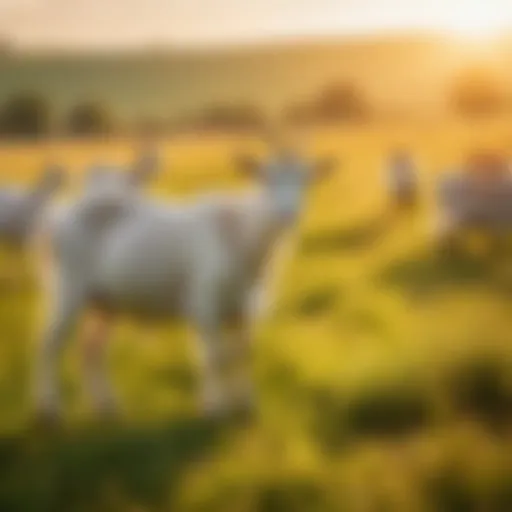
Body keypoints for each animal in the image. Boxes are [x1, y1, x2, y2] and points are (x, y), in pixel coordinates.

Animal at [33, 150, 336, 422]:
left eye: (305, 180)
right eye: (266, 179)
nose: (288, 214)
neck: (239, 236)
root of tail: (54, 221)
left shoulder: (243, 308)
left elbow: (242, 354)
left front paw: (246, 405)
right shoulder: (204, 303)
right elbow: (215, 357)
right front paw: (216, 408)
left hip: (104, 302)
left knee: (91, 350)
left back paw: (107, 408)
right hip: (68, 285)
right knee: (49, 344)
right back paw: (49, 411)